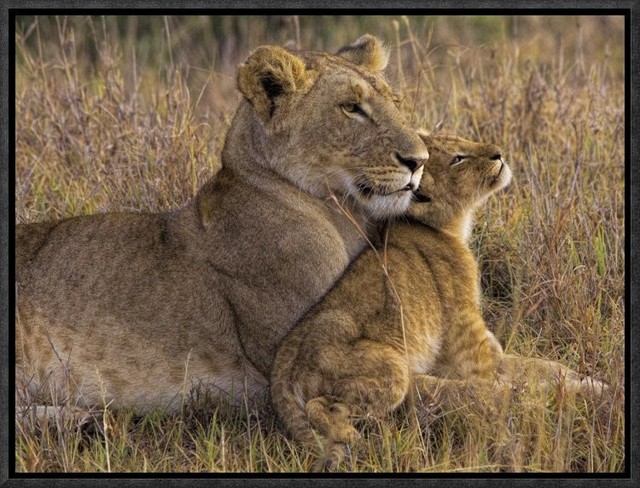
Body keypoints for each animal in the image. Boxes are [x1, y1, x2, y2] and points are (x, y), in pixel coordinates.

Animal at [15, 35, 429, 414]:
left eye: (395, 103)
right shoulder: (303, 364)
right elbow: (431, 387)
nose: (420, 160)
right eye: (351, 108)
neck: (343, 216)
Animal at [270, 132, 608, 472]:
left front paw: (594, 383)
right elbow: (512, 388)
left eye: (462, 140)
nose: (498, 153)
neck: (449, 228)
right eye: (457, 158)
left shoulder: (494, 353)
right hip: (393, 369)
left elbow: (547, 367)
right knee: (320, 406)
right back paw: (351, 436)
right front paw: (580, 394)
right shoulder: (473, 358)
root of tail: (280, 371)